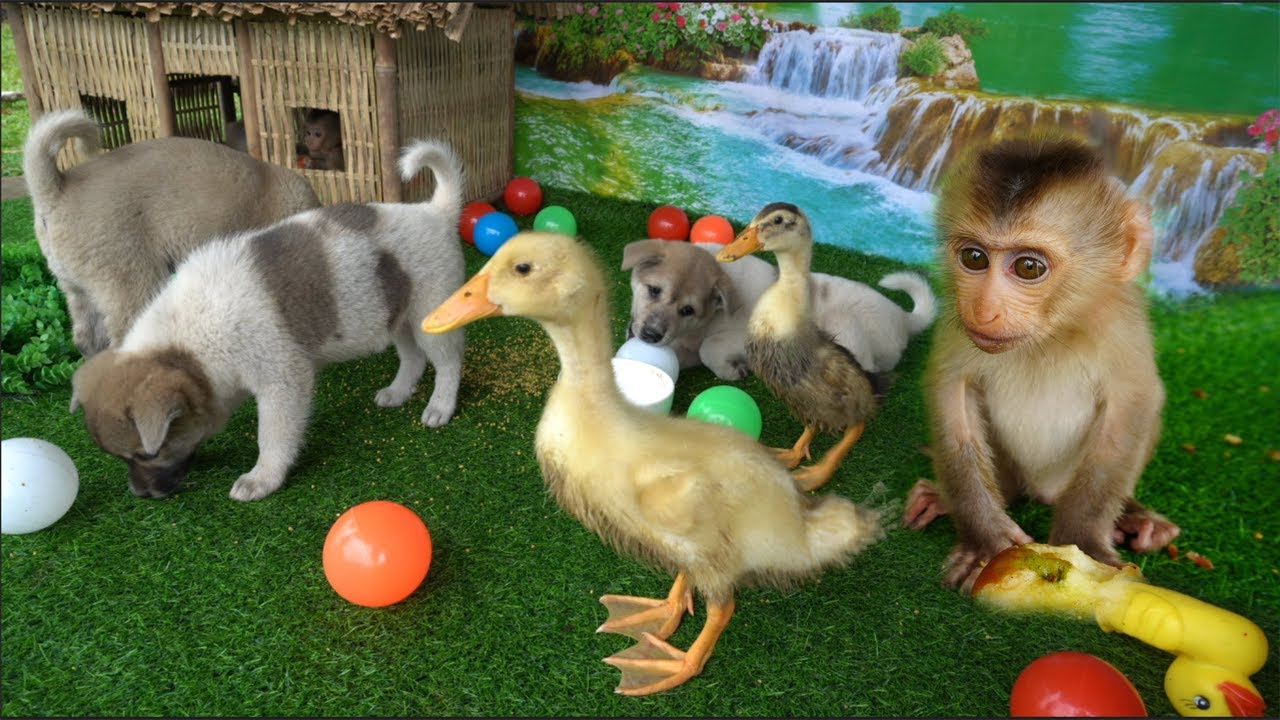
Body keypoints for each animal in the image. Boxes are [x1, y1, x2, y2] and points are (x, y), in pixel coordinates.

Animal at [903, 135, 1180, 591]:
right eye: (974, 258)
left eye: (1028, 267)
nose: (984, 311)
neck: (1049, 337)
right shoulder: (957, 325)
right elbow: (951, 389)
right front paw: (983, 538)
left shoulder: (1123, 327)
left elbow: (1134, 405)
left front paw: (1084, 541)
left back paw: (1134, 516)